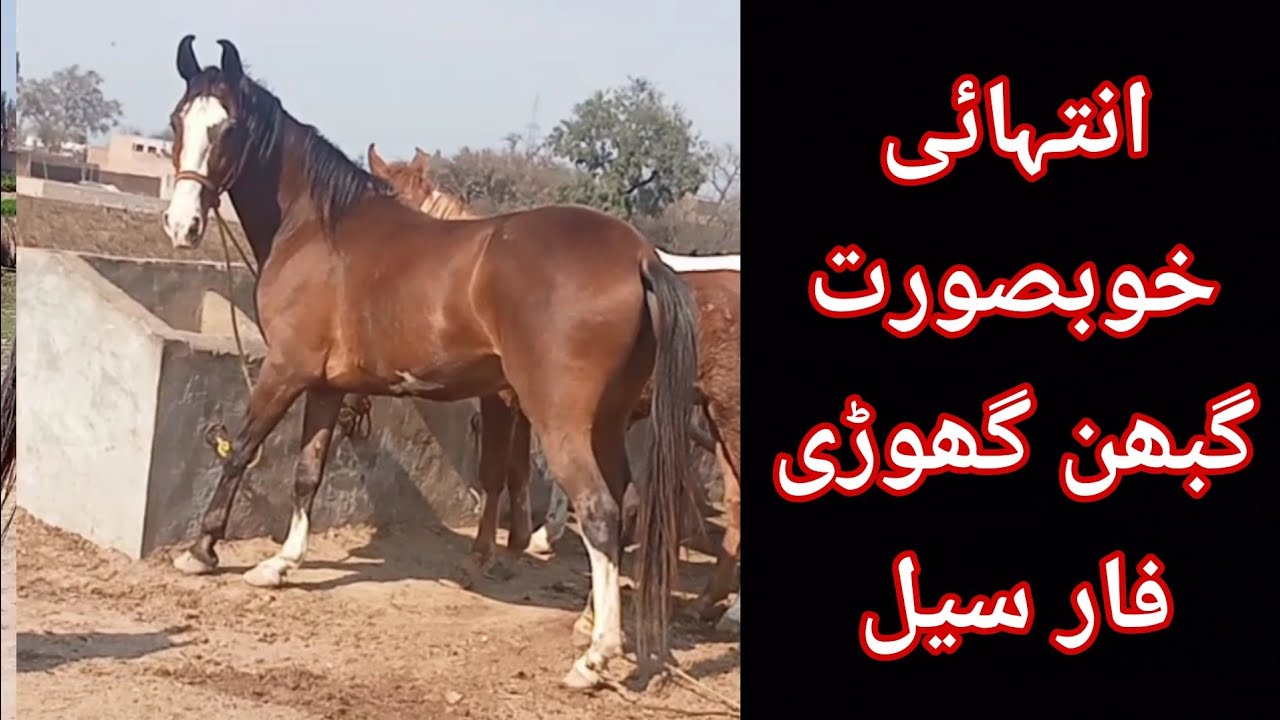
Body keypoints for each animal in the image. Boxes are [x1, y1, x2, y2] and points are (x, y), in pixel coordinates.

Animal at [160, 36, 701, 687]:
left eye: (229, 127)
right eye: (177, 121)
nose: (181, 225)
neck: (318, 229)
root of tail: (640, 255)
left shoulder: (285, 370)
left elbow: (241, 449)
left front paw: (202, 550)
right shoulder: (327, 385)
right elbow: (308, 471)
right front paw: (281, 563)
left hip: (561, 420)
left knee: (598, 510)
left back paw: (595, 658)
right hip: (609, 422)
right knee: (625, 505)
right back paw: (590, 624)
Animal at [366, 144, 741, 627]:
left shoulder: (502, 400)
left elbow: (497, 471)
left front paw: (488, 553)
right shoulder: (527, 406)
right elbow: (520, 471)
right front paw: (521, 543)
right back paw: (704, 601)